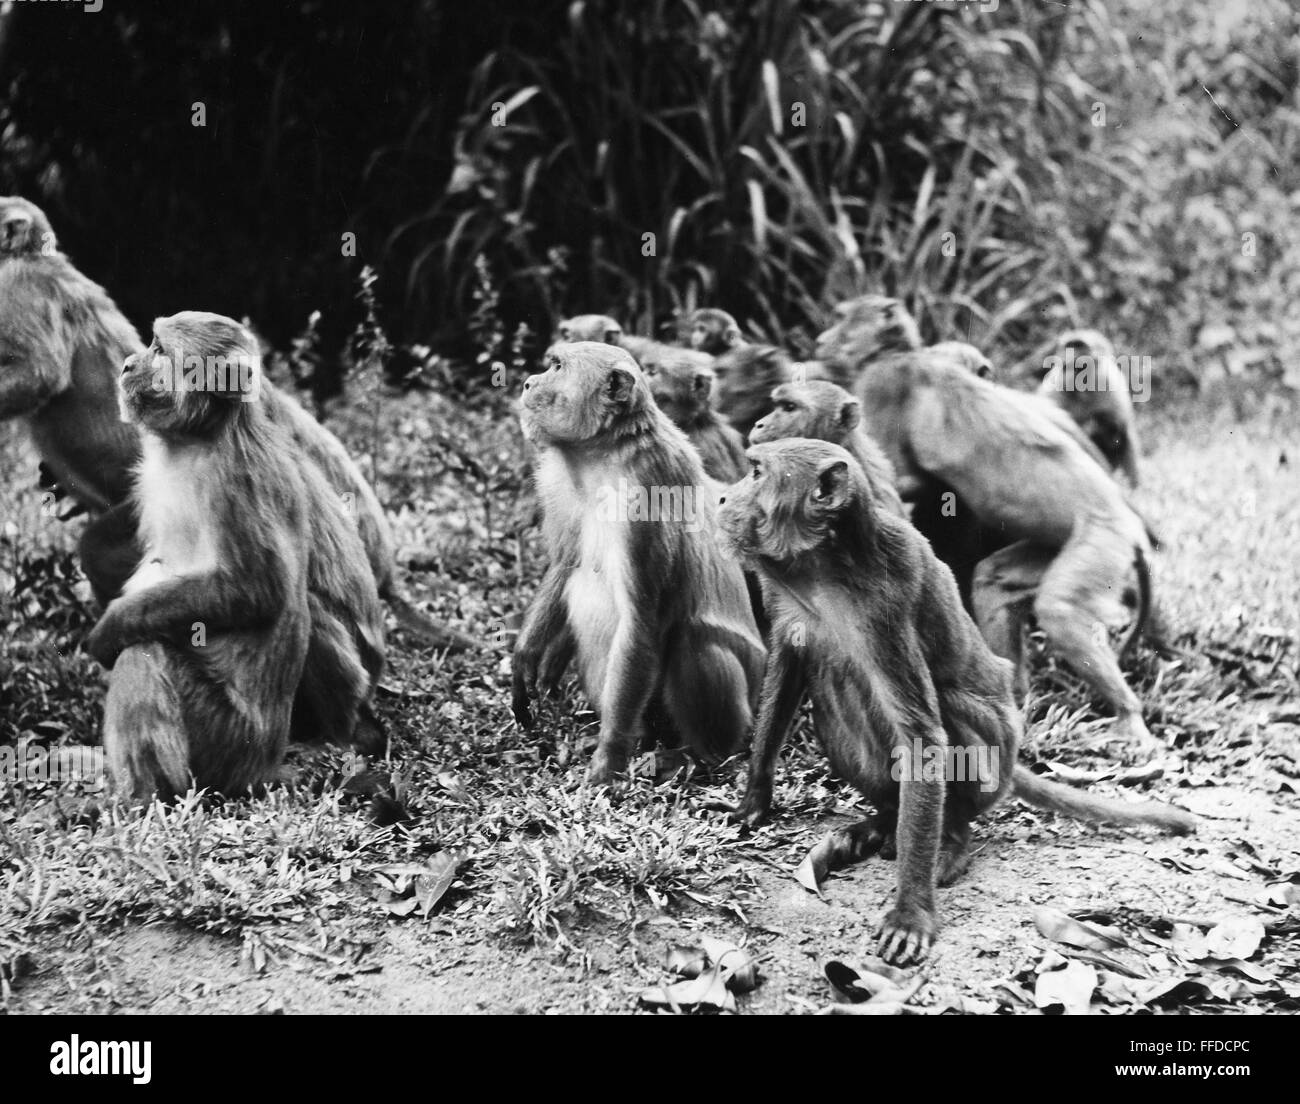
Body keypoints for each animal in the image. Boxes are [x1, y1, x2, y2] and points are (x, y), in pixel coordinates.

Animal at [86, 313, 314, 799]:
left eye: (158, 350)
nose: (128, 364)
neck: (203, 436)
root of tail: (263, 765)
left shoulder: (234, 481)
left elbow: (255, 591)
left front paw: (109, 628)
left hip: (225, 740)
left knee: (145, 651)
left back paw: (143, 802)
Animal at [718, 440, 1196, 963]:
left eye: (755, 473)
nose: (722, 499)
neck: (826, 567)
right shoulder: (786, 595)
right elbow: (787, 672)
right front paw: (754, 800)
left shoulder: (886, 607)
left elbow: (923, 737)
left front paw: (911, 911)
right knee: (832, 684)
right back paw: (884, 821)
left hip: (993, 760)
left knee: (944, 709)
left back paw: (951, 837)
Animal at [1038, 328, 1142, 486]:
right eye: (1069, 345)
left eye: (1078, 345)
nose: (1068, 354)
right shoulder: (1055, 386)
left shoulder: (1112, 386)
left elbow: (1119, 434)